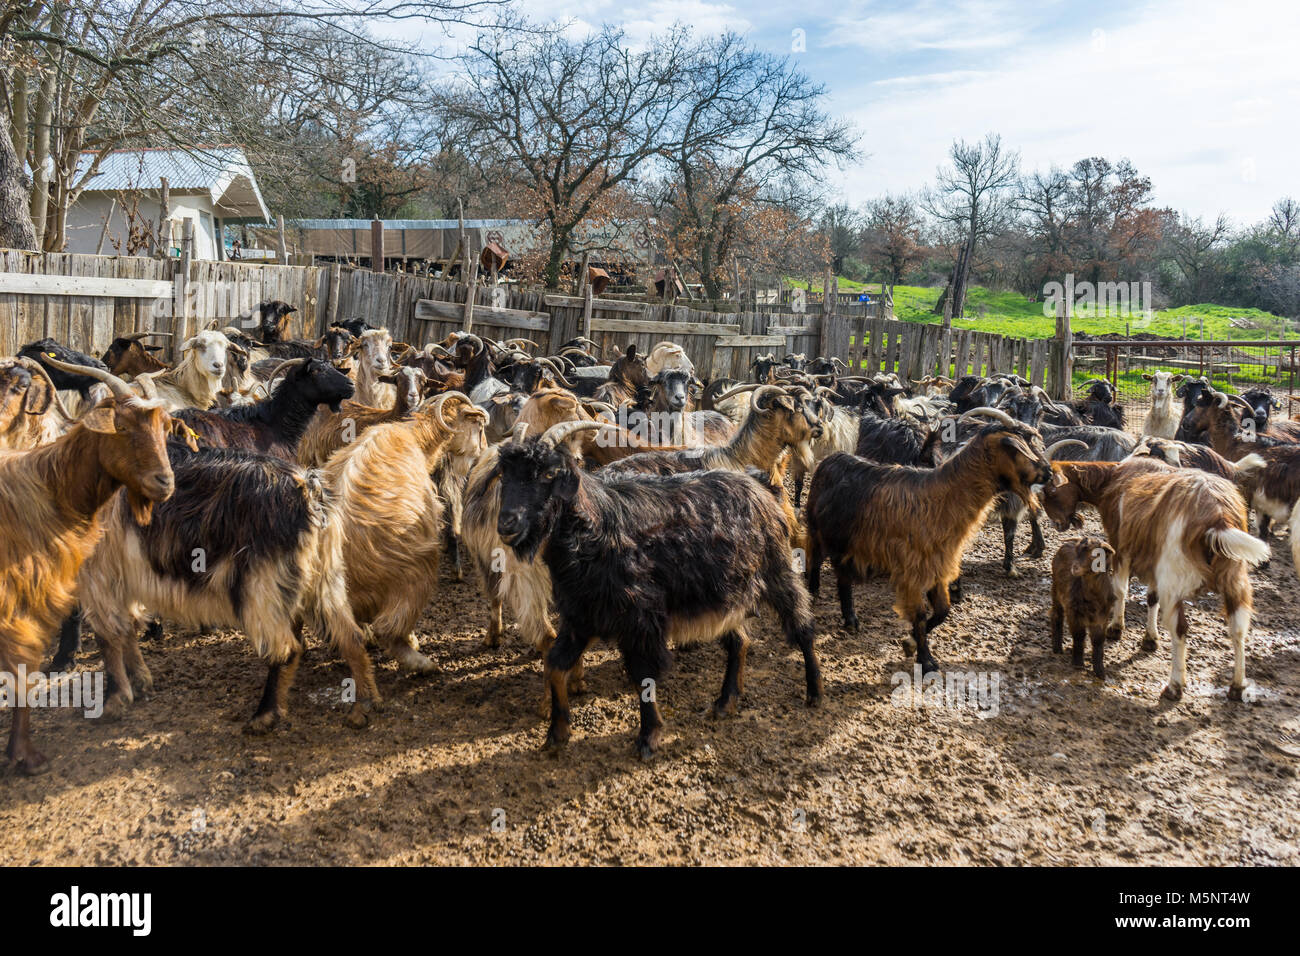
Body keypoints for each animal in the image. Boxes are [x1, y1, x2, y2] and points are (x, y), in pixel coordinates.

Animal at [0, 360, 174, 773]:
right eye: (122, 426)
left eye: (164, 428)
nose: (165, 482)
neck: (50, 487)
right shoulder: (21, 599)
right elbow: (24, 669)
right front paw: (27, 756)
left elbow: (121, 624)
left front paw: (136, 682)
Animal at [496, 421, 822, 759]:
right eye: (504, 472)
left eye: (548, 474)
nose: (507, 523)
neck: (593, 530)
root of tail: (760, 486)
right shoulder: (580, 617)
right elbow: (555, 666)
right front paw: (557, 732)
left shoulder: (640, 619)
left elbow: (643, 676)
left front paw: (648, 737)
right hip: (721, 594)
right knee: (739, 641)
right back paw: (725, 702)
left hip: (776, 570)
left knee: (801, 623)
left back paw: (814, 691)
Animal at [805, 412, 1054, 672]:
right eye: (1019, 448)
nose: (1048, 472)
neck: (941, 497)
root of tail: (830, 459)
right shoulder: (913, 568)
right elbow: (919, 614)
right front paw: (925, 659)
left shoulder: (939, 566)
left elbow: (943, 611)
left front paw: (911, 643)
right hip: (817, 530)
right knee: (813, 560)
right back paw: (813, 593)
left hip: (846, 542)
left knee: (843, 577)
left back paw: (851, 619)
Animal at [1049, 535, 1118, 679]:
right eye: (1077, 551)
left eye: (1095, 555)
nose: (1074, 568)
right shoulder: (1073, 613)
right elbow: (1079, 636)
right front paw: (1077, 663)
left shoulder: (1102, 617)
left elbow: (1098, 641)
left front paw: (1100, 671)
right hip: (1056, 590)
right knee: (1057, 616)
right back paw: (1057, 648)